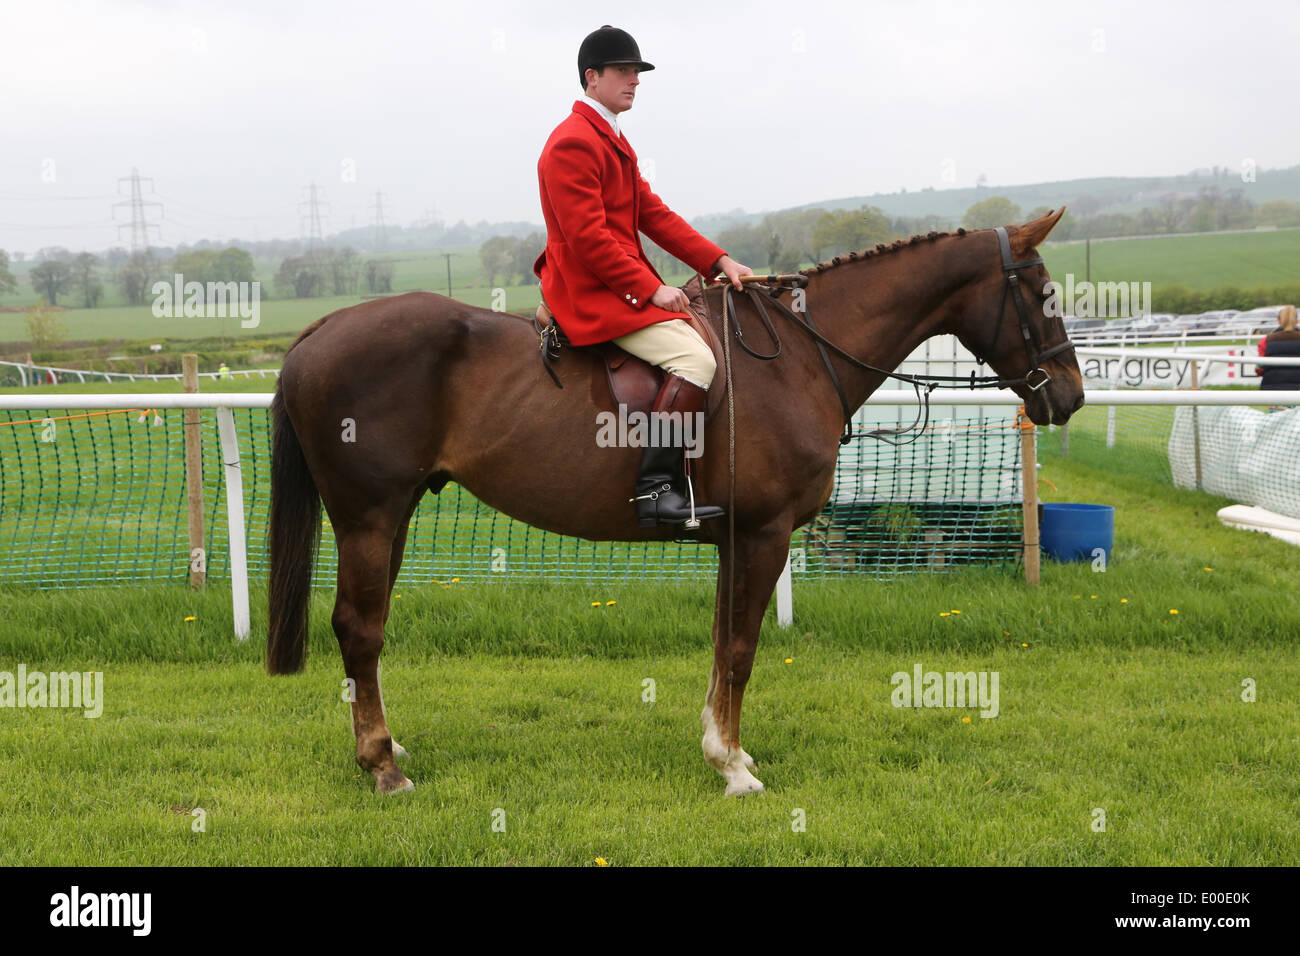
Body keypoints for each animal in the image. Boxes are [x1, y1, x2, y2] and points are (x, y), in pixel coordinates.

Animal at [266, 207, 1084, 796]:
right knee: (359, 629)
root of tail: (320, 328)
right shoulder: (764, 534)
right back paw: (382, 765)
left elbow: (723, 644)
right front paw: (732, 767)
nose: (1070, 397)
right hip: (369, 519)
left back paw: (388, 744)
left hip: (394, 517)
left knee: (367, 634)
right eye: (1045, 295)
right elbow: (743, 649)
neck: (800, 356)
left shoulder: (734, 539)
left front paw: (724, 749)